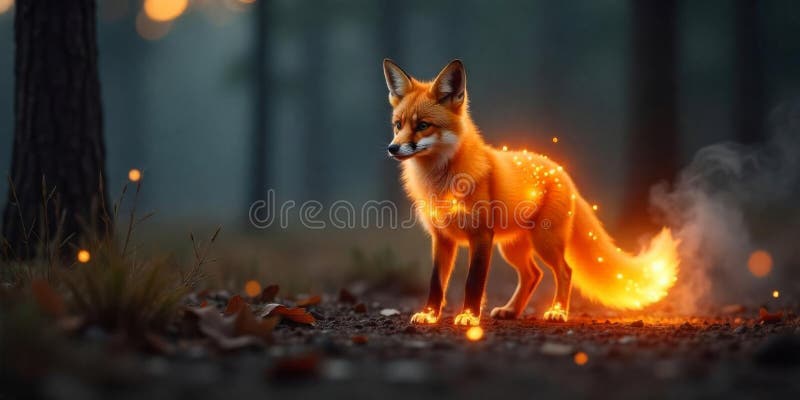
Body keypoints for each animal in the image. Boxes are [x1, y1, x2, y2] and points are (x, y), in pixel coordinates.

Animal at [382, 59, 680, 325]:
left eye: (423, 125)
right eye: (398, 125)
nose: (392, 148)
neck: (441, 180)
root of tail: (561, 172)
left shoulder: (481, 236)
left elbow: (473, 282)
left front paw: (468, 316)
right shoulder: (442, 238)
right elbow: (436, 283)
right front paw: (430, 315)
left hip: (544, 241)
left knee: (565, 271)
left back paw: (557, 312)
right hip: (512, 247)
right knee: (533, 275)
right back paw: (512, 311)